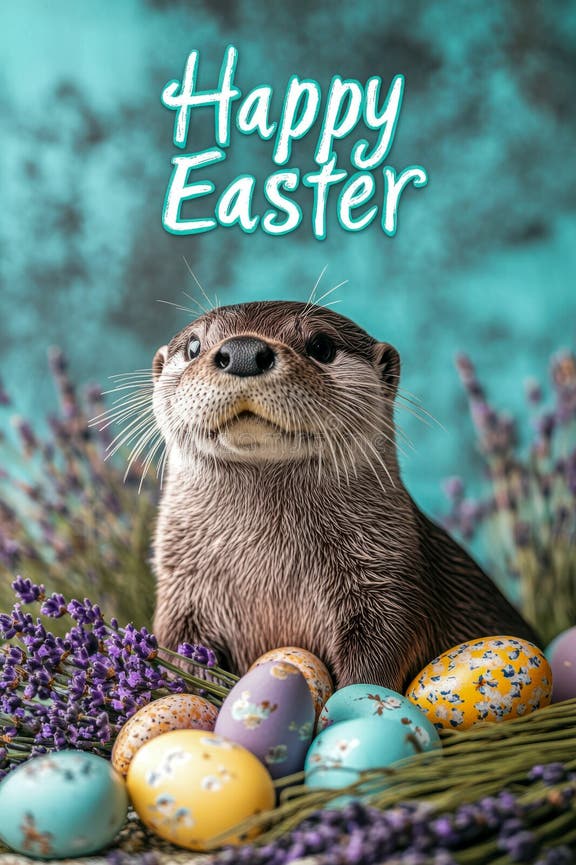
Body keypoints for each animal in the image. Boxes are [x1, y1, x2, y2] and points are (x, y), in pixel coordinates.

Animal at [150, 300, 538, 691]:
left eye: (321, 346)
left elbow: (377, 658)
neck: (267, 567)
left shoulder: (392, 579)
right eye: (194, 346)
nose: (243, 351)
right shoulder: (180, 595)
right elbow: (176, 649)